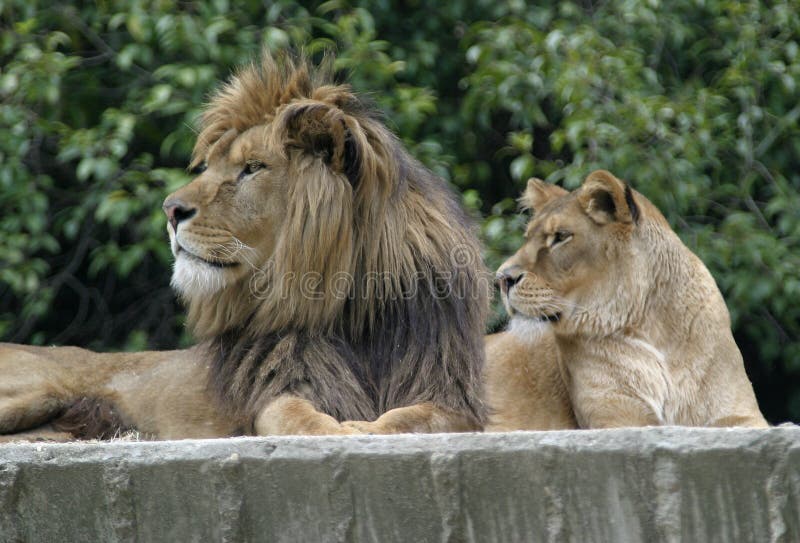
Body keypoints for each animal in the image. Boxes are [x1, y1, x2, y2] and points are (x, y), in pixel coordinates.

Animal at [0, 52, 489, 440]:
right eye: (210, 166)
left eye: (252, 168)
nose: (170, 209)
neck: (351, 311)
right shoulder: (278, 390)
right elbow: (296, 417)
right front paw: (341, 430)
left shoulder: (448, 396)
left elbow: (418, 417)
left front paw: (368, 427)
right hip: (35, 388)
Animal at [494, 170, 768, 428]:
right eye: (527, 238)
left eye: (561, 236)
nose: (501, 278)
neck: (653, 326)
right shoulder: (619, 416)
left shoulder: (740, 412)